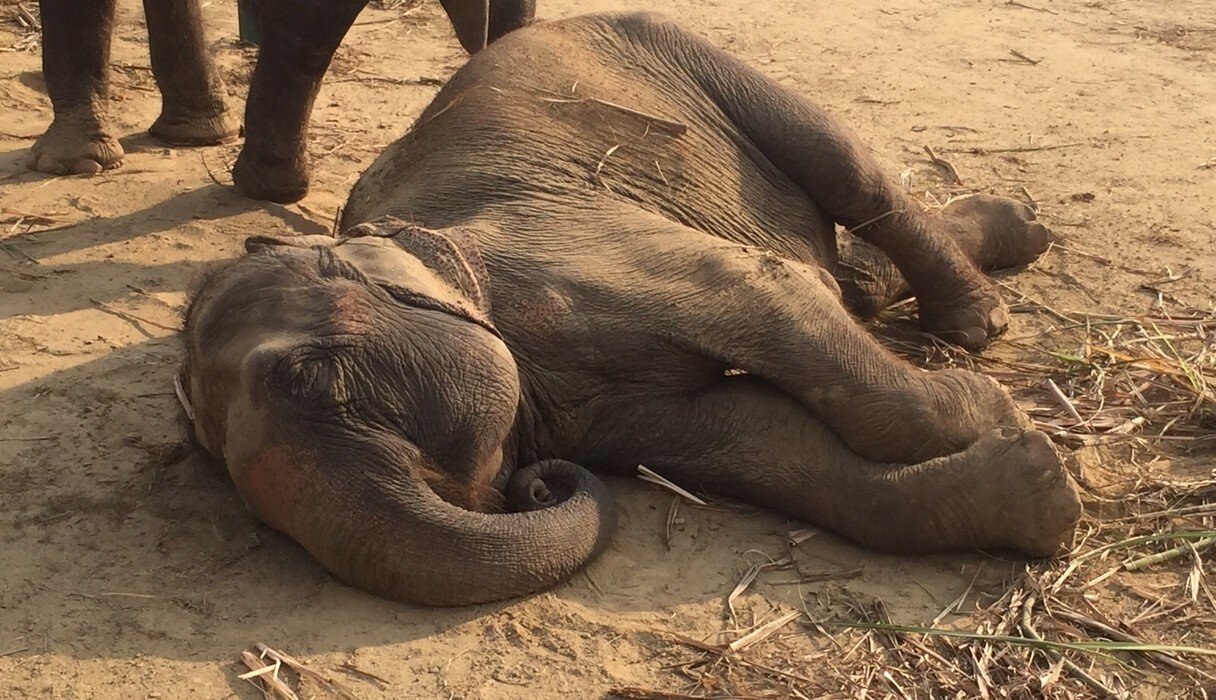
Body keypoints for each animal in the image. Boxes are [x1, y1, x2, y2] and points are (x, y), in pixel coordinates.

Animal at [180, 12, 1083, 607]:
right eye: (209, 457)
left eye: (311, 379)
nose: (535, 485)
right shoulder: (603, 411)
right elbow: (772, 449)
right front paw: (1040, 495)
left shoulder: (584, 255)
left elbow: (776, 297)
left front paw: (995, 412)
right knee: (849, 269)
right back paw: (1015, 239)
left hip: (695, 57)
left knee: (848, 174)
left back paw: (978, 321)